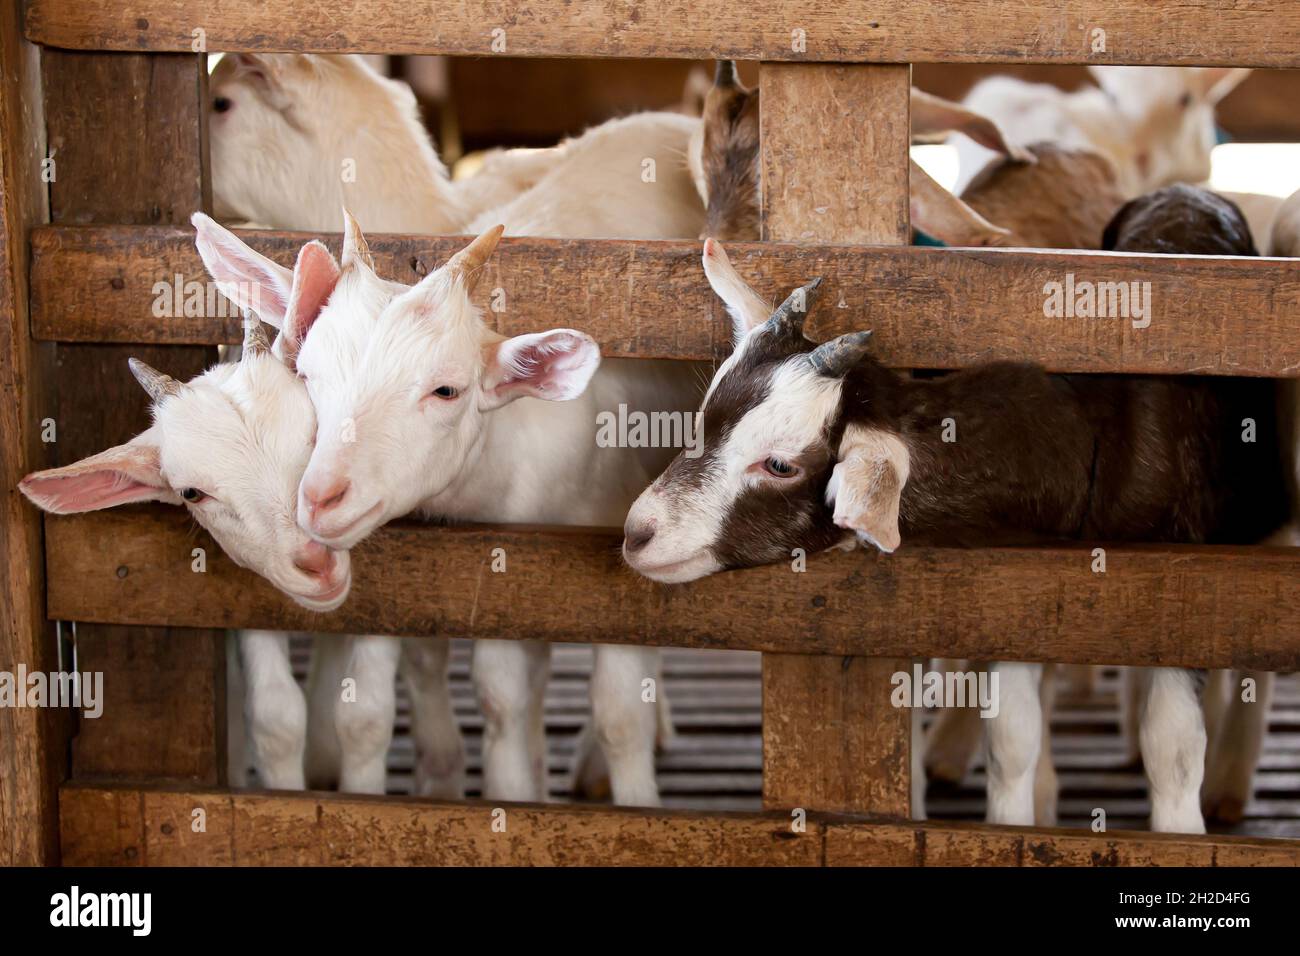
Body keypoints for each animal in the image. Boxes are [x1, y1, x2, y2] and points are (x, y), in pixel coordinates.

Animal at [621, 235, 1287, 833]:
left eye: (780, 464)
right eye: (704, 415)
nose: (637, 533)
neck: (1094, 431)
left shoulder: (1182, 591)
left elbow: (1173, 747)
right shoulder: (1020, 587)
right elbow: (1012, 739)